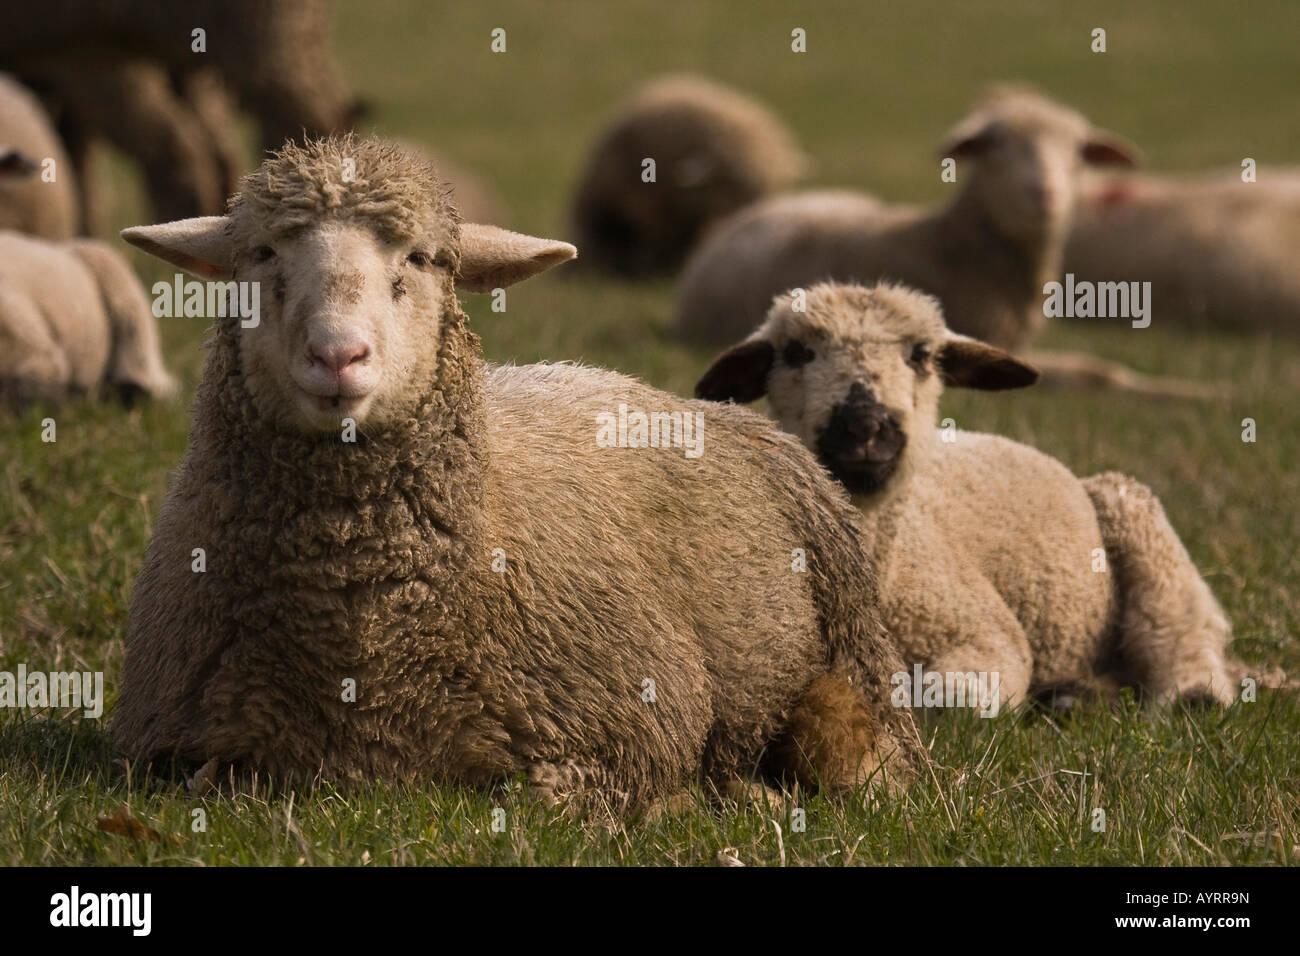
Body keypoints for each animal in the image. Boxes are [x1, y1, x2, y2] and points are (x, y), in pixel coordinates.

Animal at [113, 137, 919, 812]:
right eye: (262, 253)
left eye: (423, 259)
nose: (338, 356)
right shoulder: (168, 752)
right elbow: (208, 778)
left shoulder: (638, 725)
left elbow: (553, 794)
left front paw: (695, 801)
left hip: (856, 654)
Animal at [696, 282, 1248, 711]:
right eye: (795, 352)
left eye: (921, 355)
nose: (865, 426)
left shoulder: (984, 630)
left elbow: (952, 701)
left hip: (1135, 519)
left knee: (1182, 626)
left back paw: (1192, 695)